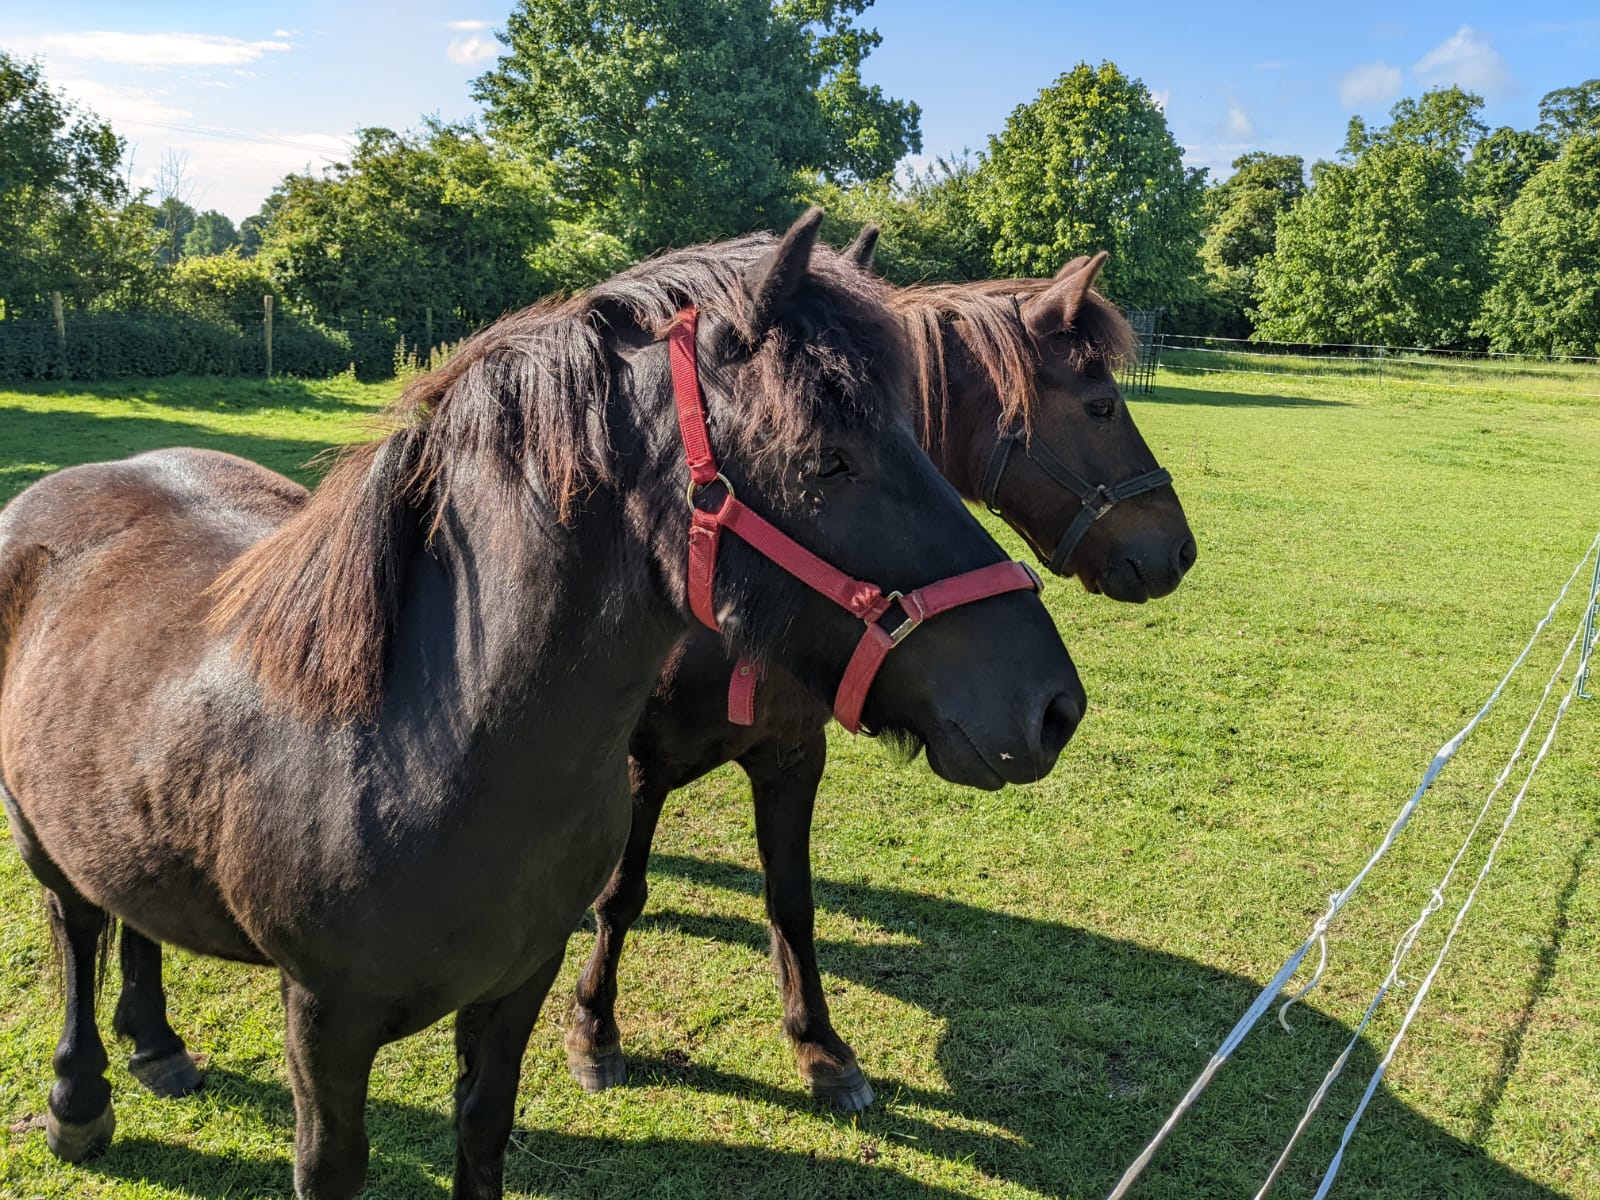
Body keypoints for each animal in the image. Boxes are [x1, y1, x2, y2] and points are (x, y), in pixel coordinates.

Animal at [0, 210, 1084, 1200]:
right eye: (828, 459)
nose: (1051, 706)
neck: (417, 753)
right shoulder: (323, 1021)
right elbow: (332, 1164)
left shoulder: (516, 986)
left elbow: (483, 1129)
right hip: (40, 836)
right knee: (77, 928)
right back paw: (79, 1102)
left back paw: (157, 1043)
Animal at [561, 241, 1195, 1111]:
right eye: (1101, 407)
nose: (1177, 550)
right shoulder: (638, 765)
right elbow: (621, 895)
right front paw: (595, 1030)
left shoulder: (792, 756)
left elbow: (791, 902)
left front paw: (820, 1047)